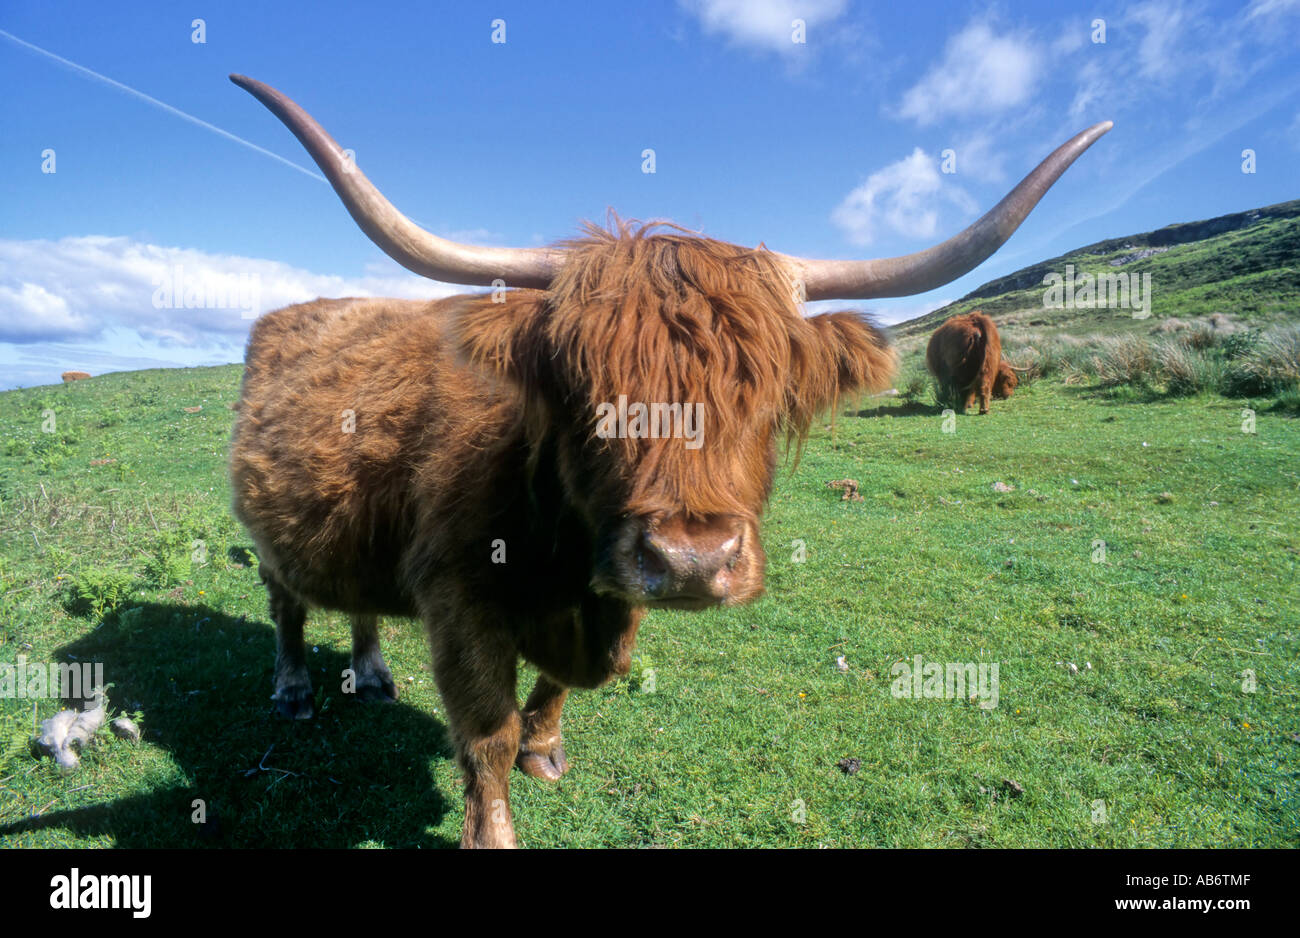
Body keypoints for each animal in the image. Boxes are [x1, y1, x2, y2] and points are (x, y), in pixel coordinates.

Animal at [226, 74, 1109, 847]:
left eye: (767, 393)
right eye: (585, 388)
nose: (692, 560)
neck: (565, 566)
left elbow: (569, 687)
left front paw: (545, 747)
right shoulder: (459, 596)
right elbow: (484, 736)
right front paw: (496, 821)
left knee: (356, 602)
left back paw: (372, 674)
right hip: (266, 532)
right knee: (288, 604)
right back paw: (294, 689)